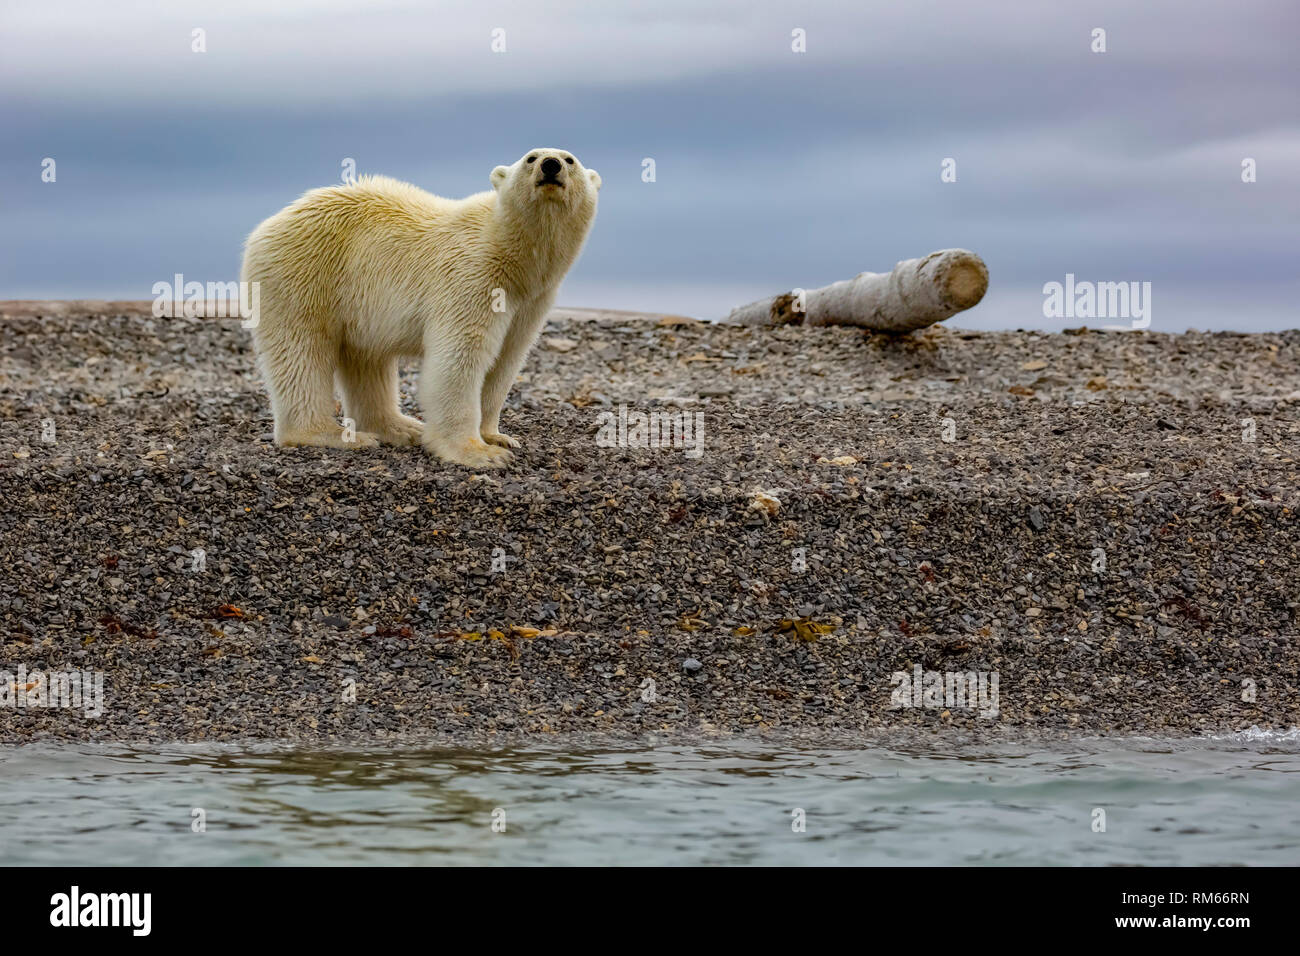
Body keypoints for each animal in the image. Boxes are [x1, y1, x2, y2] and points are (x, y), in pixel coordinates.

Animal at [240, 148, 600, 468]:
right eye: (531, 157)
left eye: (570, 159)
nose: (551, 165)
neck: (511, 252)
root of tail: (269, 224)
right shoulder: (473, 277)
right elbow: (459, 360)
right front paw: (478, 452)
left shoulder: (531, 300)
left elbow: (505, 360)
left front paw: (497, 436)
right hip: (304, 273)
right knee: (301, 352)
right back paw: (331, 434)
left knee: (367, 360)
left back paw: (399, 428)